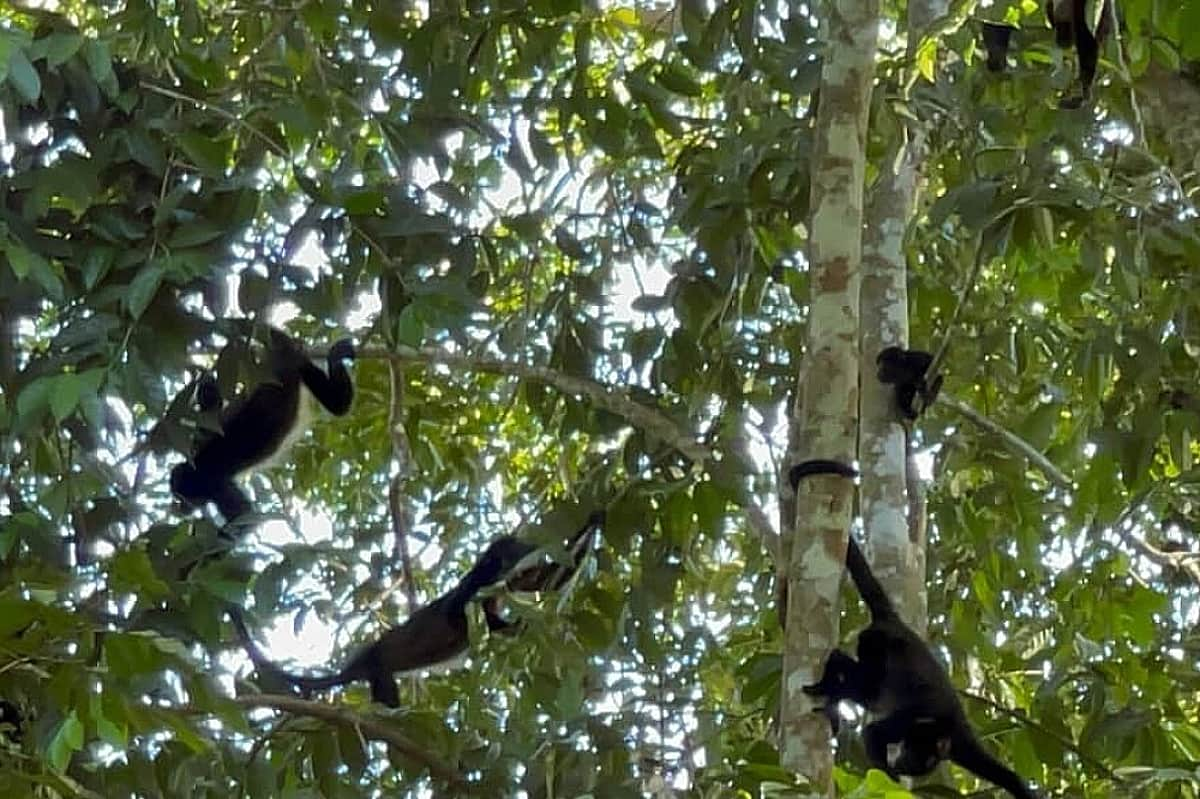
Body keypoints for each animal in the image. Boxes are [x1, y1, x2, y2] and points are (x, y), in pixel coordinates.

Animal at [170, 328, 355, 523]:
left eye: (183, 499)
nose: (179, 508)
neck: (197, 468)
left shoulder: (216, 486)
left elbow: (244, 515)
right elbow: (212, 416)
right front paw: (205, 382)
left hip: (293, 363)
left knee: (339, 406)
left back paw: (335, 359)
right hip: (296, 366)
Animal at [230, 535, 540, 705]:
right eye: (515, 547)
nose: (532, 545)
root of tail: (357, 663)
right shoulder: (476, 582)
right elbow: (454, 613)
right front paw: (510, 627)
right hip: (378, 667)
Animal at [792, 460, 1036, 796]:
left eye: (925, 764)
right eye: (917, 755)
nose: (904, 766)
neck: (941, 729)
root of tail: (895, 622)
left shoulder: (962, 747)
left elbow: (1008, 778)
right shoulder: (911, 719)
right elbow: (873, 734)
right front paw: (887, 781)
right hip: (876, 641)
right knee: (865, 680)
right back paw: (830, 684)